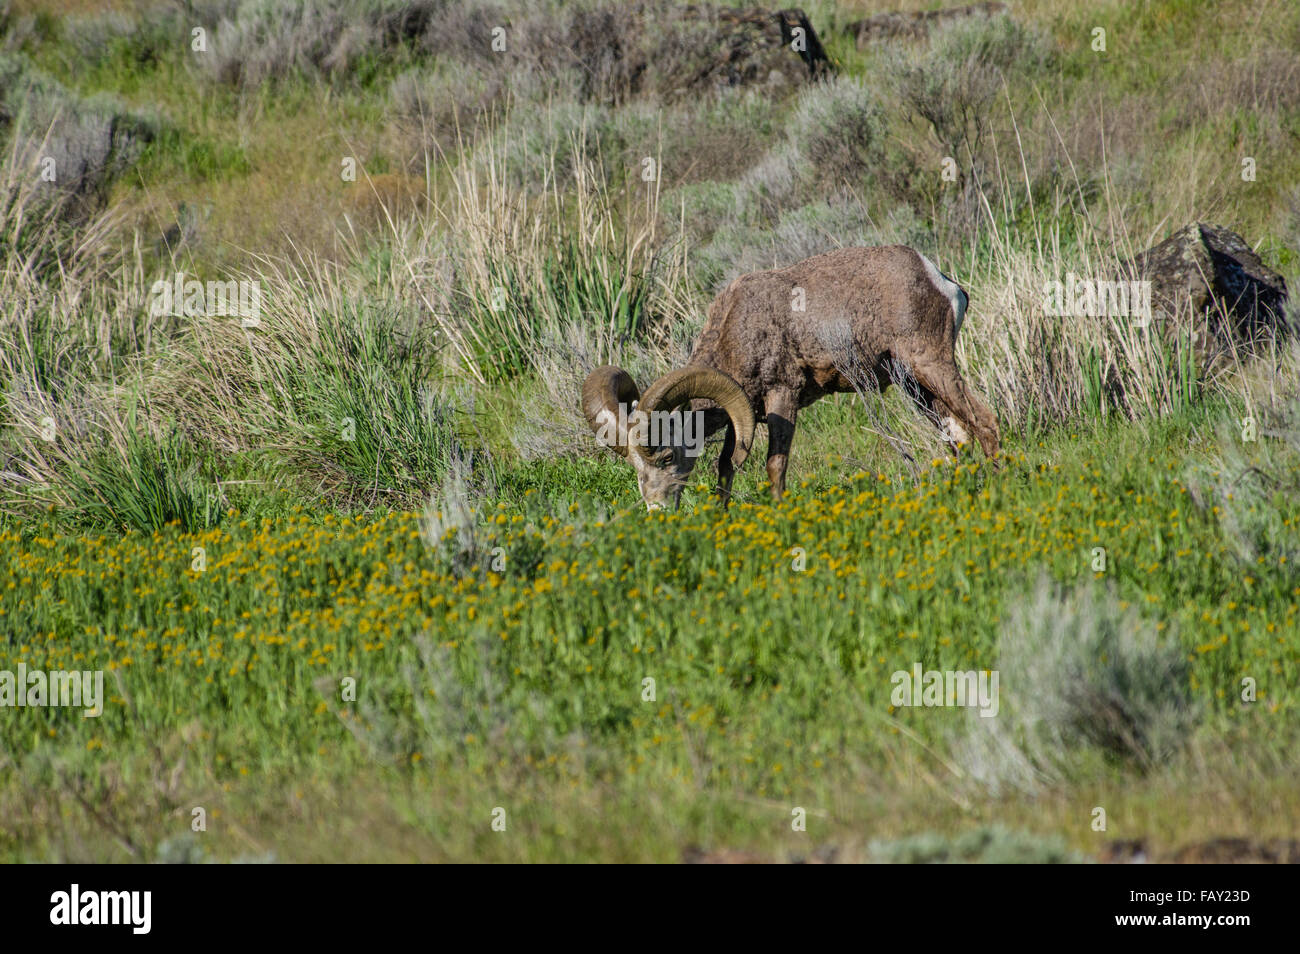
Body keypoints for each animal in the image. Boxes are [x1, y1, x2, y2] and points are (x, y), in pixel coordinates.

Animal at [582, 245, 1000, 509]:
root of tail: (943, 283)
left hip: (932, 366)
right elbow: (726, 466)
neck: (737, 328)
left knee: (984, 422)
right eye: (636, 469)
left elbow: (774, 466)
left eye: (668, 456)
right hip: (915, 386)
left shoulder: (783, 398)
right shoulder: (743, 414)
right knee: (958, 436)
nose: (657, 511)